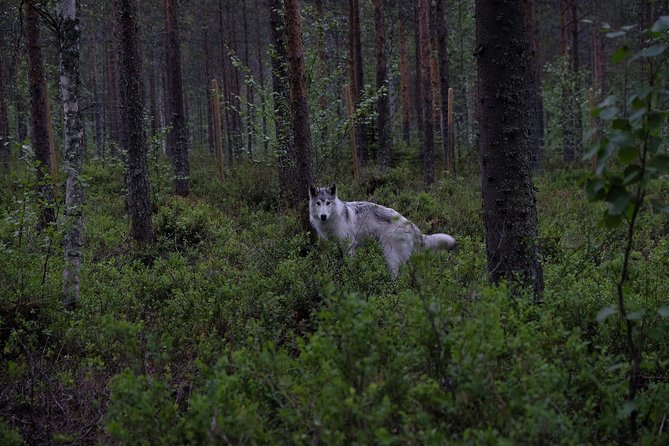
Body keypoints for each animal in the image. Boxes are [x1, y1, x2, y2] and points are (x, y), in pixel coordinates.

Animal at [309, 184, 456, 278]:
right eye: (318, 203)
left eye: (328, 203)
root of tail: (409, 222)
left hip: (389, 254)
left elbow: (349, 265)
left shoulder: (349, 246)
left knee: (395, 273)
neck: (332, 220)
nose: (323, 216)